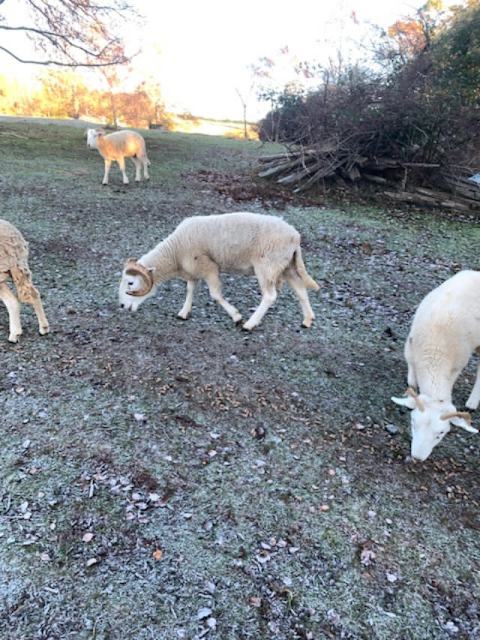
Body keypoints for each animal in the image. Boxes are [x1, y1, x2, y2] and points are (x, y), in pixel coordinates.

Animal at [118, 211, 319, 331]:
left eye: (130, 282)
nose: (121, 306)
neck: (174, 252)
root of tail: (295, 236)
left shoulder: (209, 267)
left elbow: (215, 295)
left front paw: (236, 317)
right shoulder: (193, 270)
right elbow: (190, 290)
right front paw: (184, 312)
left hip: (267, 266)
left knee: (270, 296)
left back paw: (250, 323)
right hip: (286, 266)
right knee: (300, 289)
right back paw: (307, 320)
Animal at [392, 270, 480, 461]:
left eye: (441, 434)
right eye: (413, 423)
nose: (417, 458)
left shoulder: (457, 365)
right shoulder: (410, 352)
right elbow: (411, 381)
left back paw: (472, 401)